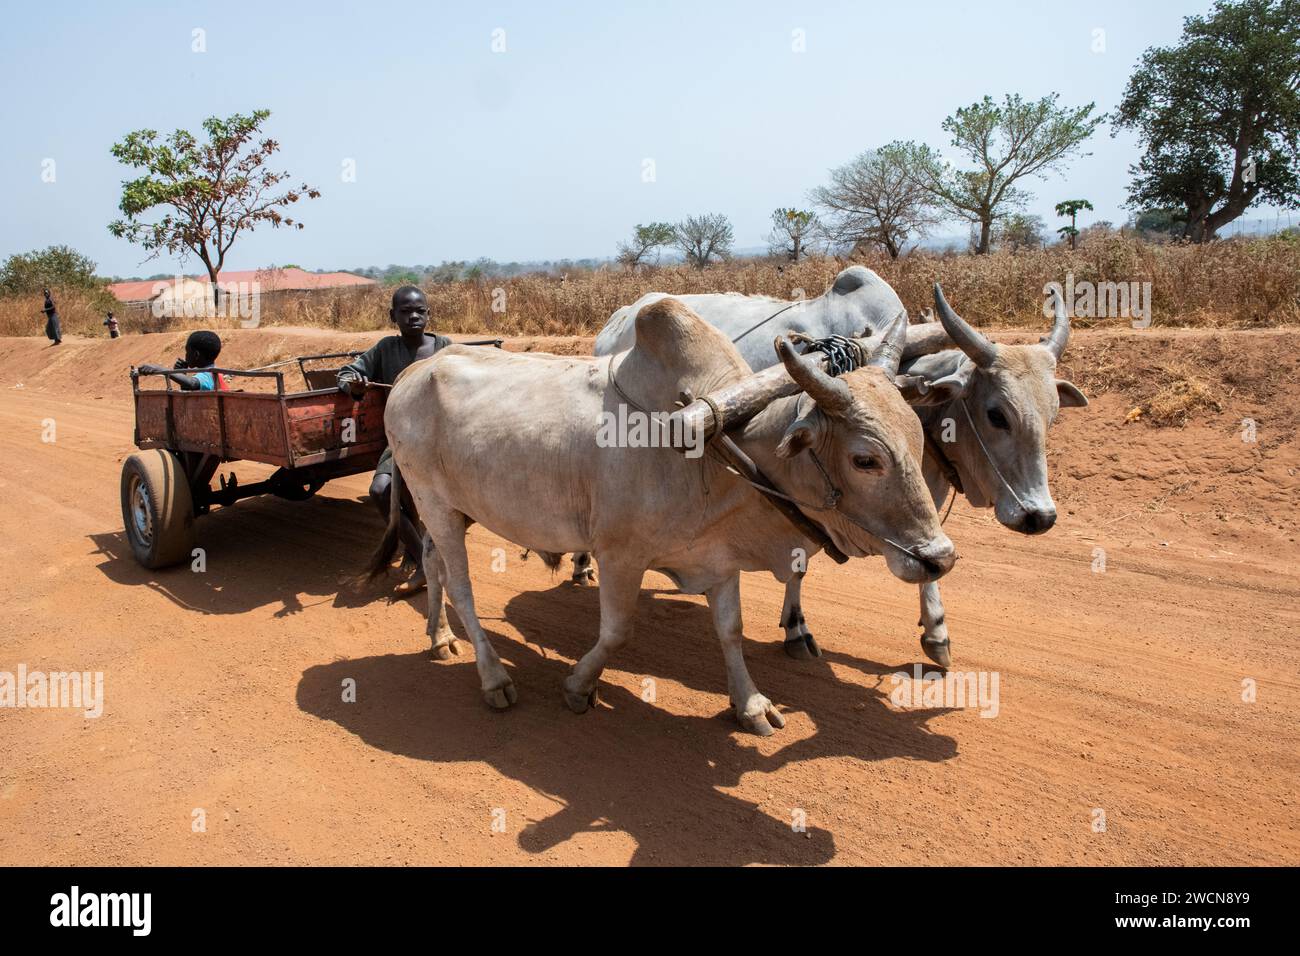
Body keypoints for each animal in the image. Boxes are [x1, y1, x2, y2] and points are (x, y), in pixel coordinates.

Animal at [371, 297, 955, 735]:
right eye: (865, 459)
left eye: (919, 435)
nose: (940, 558)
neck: (716, 450)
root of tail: (414, 372)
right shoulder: (619, 555)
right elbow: (616, 631)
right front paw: (578, 687)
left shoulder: (717, 558)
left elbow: (730, 631)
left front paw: (751, 706)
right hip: (433, 500)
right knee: (462, 585)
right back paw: (492, 676)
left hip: (453, 507)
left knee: (432, 562)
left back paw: (439, 638)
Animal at [588, 273, 1087, 668]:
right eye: (996, 414)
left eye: (1053, 415)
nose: (1039, 516)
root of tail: (622, 316)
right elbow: (799, 564)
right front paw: (797, 629)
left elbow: (927, 552)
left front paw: (937, 632)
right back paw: (580, 568)